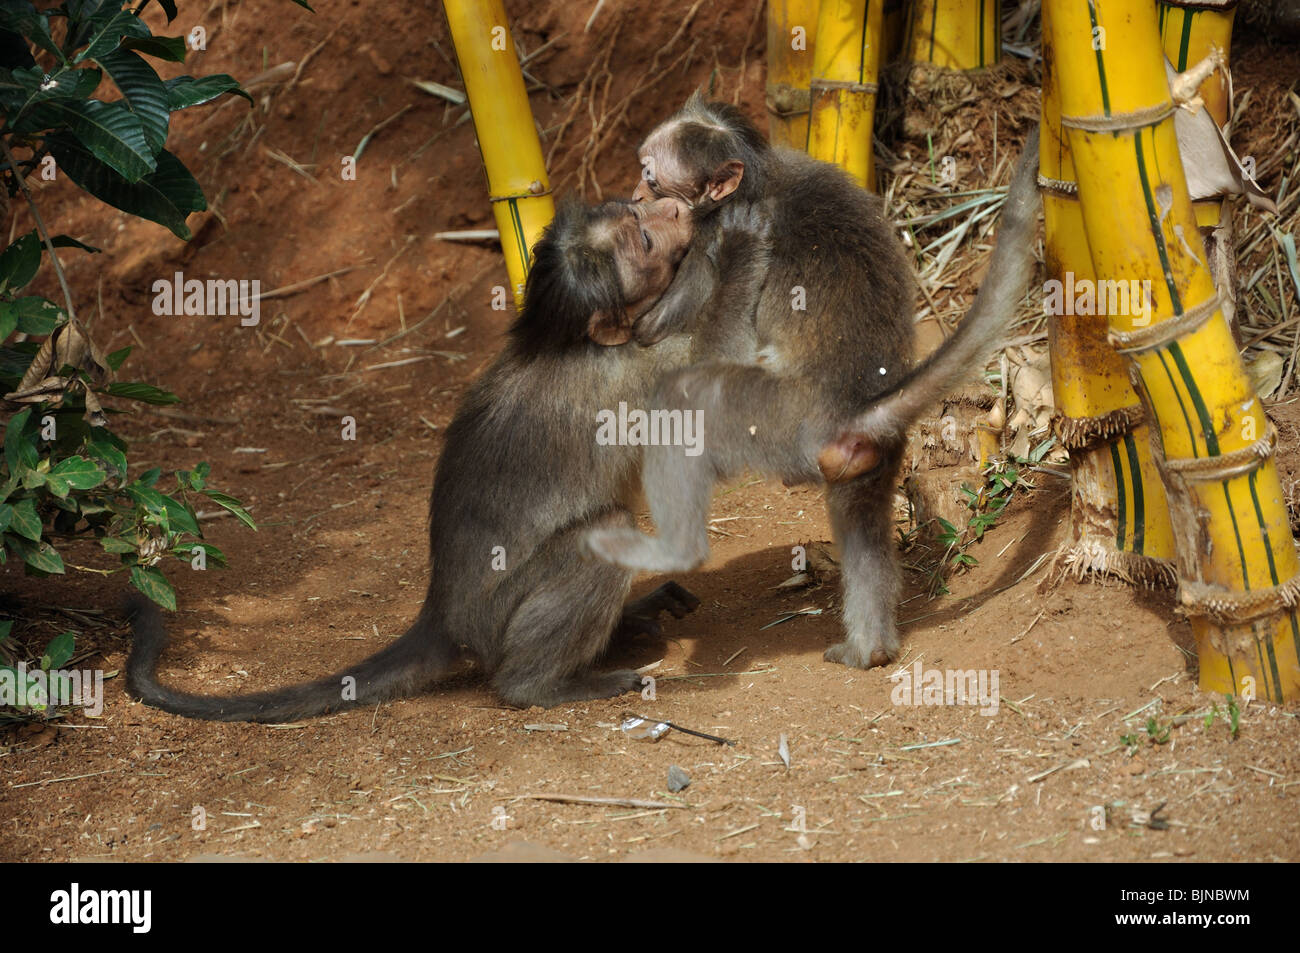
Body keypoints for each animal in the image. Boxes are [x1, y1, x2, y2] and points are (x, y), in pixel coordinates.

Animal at [124, 194, 770, 722]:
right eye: (643, 240)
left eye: (639, 210)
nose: (673, 208)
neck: (565, 342)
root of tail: (443, 614)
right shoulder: (643, 362)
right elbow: (726, 361)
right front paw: (742, 239)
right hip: (496, 615)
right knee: (602, 532)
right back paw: (538, 687)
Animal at [585, 95, 1042, 670]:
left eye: (652, 178)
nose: (637, 198)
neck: (758, 175)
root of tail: (857, 405)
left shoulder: (707, 242)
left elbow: (696, 343)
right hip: (867, 449)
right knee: (858, 514)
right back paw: (870, 649)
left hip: (775, 417)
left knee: (689, 394)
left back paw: (671, 550)